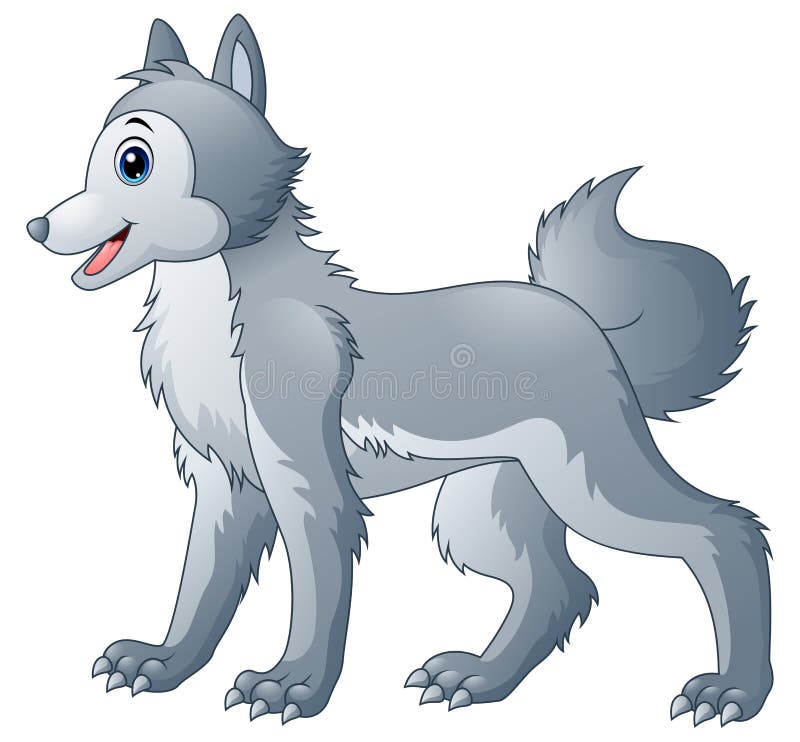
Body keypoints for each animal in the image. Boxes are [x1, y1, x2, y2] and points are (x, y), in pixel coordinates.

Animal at [27, 14, 772, 728]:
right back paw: (477, 679)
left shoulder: (307, 485)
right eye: (94, 160)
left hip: (591, 490)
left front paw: (293, 685)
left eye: (132, 163)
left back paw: (733, 691)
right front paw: (164, 663)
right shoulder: (225, 486)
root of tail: (583, 314)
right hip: (479, 512)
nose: (36, 227)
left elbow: (315, 594)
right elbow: (200, 591)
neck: (215, 316)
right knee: (558, 589)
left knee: (722, 529)